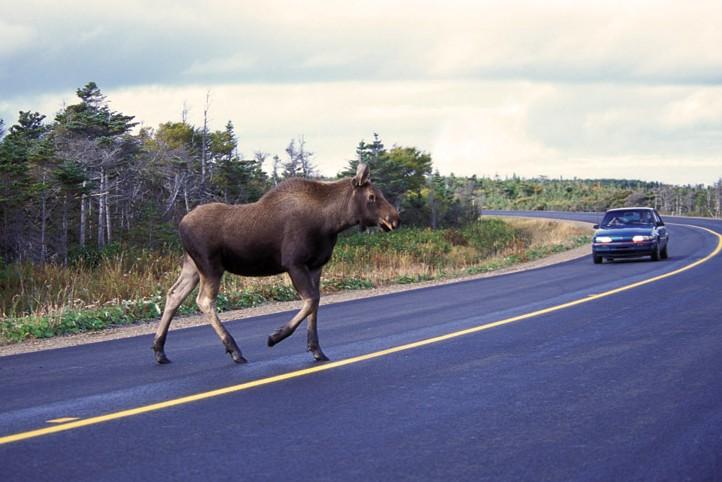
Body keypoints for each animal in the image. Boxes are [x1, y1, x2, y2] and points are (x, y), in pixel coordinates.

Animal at [152, 163, 400, 364]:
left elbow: (316, 304)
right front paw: (275, 337)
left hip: (192, 266)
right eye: (372, 196)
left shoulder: (316, 265)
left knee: (174, 294)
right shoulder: (294, 263)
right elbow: (311, 301)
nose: (394, 219)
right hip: (210, 265)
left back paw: (159, 350)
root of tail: (181, 224)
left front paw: (316, 350)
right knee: (204, 301)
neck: (331, 222)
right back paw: (234, 350)